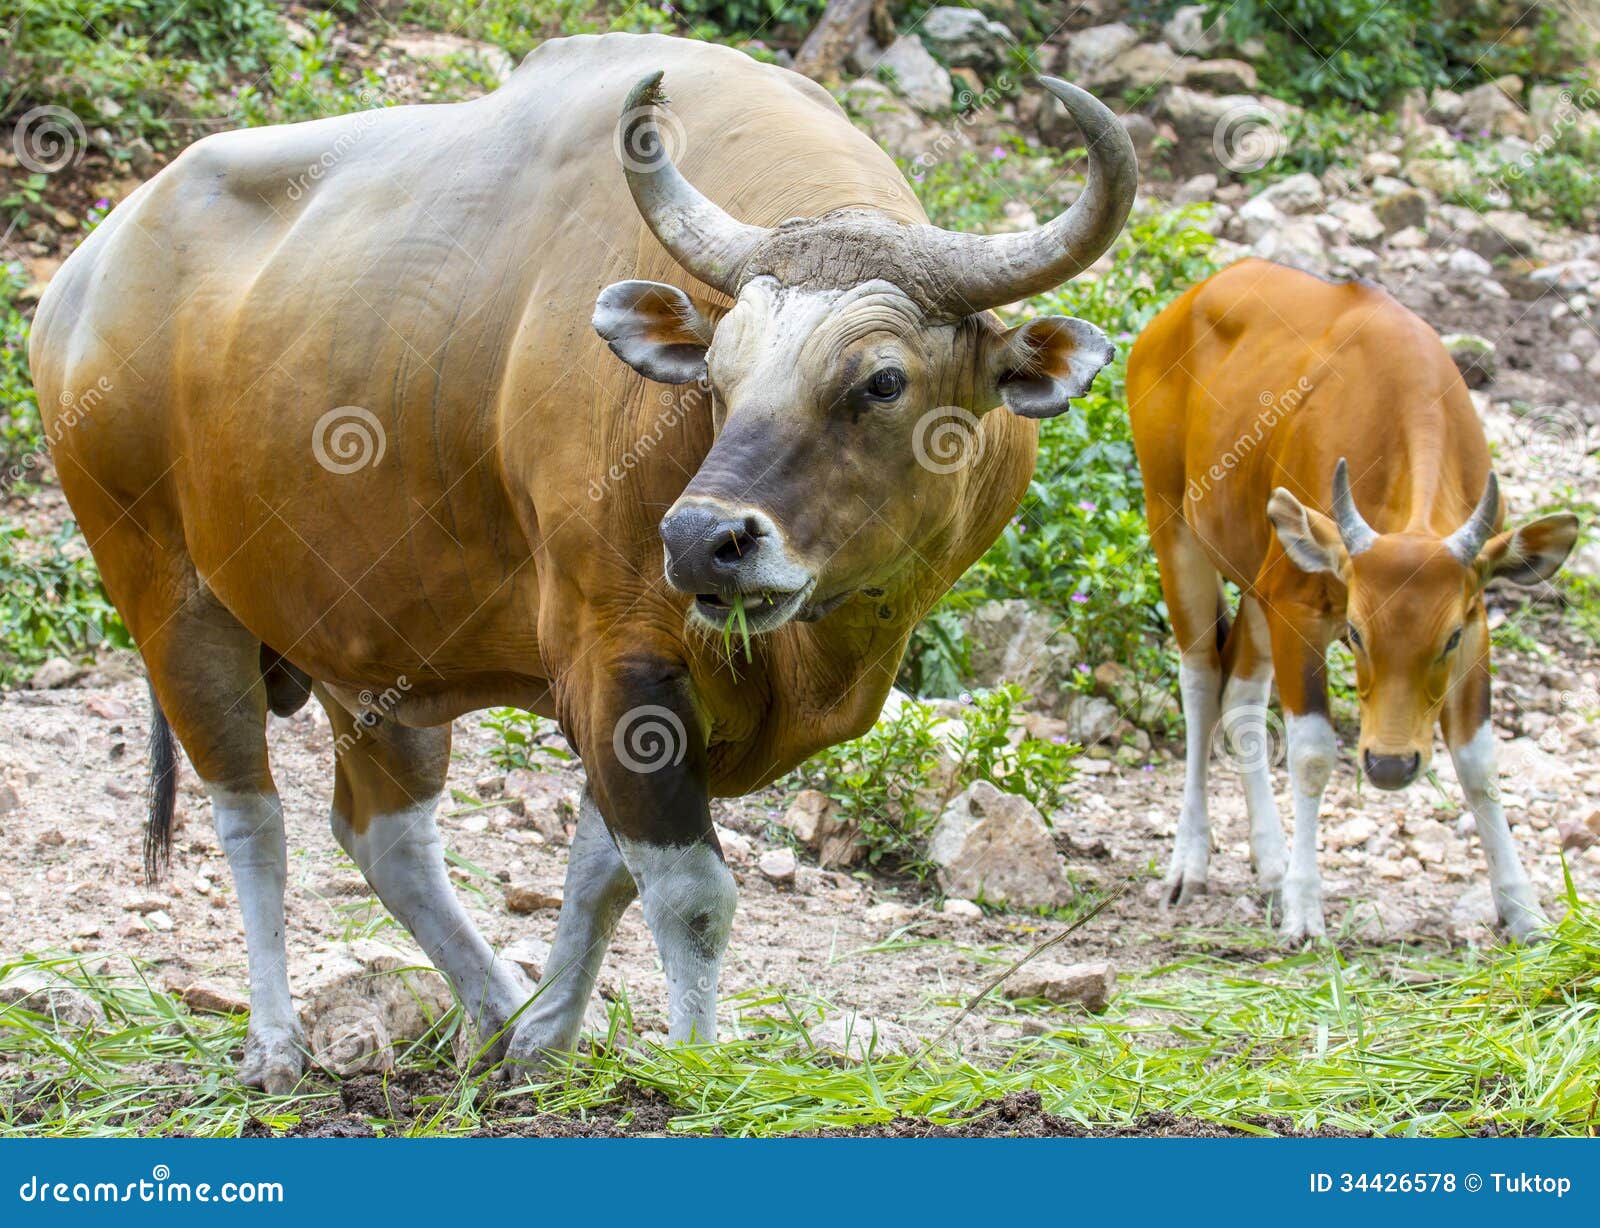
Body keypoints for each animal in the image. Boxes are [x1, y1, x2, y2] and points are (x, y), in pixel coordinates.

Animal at [29, 33, 1136, 1092]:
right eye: (717, 377)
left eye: (882, 380)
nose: (700, 540)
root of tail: (80, 283)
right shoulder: (614, 651)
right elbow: (687, 891)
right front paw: (694, 1063)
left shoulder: (634, 686)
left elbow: (601, 870)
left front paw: (547, 1040)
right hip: (169, 599)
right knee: (252, 818)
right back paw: (277, 1043)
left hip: (361, 643)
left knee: (386, 835)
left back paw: (492, 1013)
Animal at [1127, 259, 1578, 944]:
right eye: (1359, 633)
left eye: (1447, 637)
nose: (1390, 766)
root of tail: (1175, 313)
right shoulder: (1298, 604)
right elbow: (1314, 753)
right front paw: (1305, 911)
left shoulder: (1476, 618)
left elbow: (1479, 764)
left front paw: (1525, 913)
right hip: (1172, 524)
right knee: (1202, 683)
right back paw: (1190, 862)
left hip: (1256, 580)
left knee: (1241, 697)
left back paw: (1271, 861)